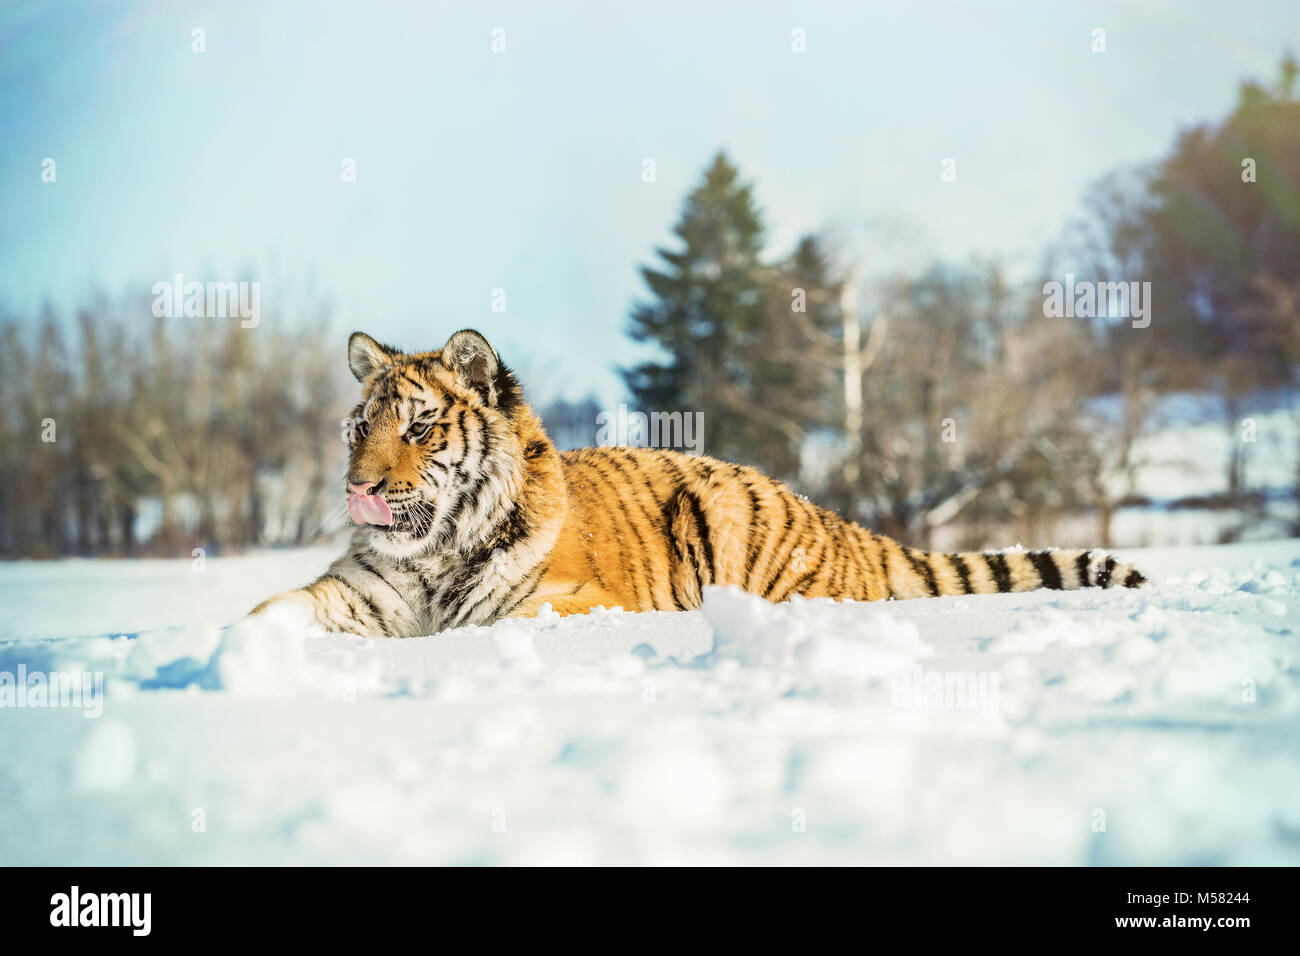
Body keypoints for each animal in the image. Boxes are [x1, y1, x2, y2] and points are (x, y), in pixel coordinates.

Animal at [250, 329, 1147, 636]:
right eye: (361, 428)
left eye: (420, 428)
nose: (358, 487)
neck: (436, 558)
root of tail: (847, 525)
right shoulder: (363, 590)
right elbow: (280, 607)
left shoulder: (574, 600)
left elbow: (487, 622)